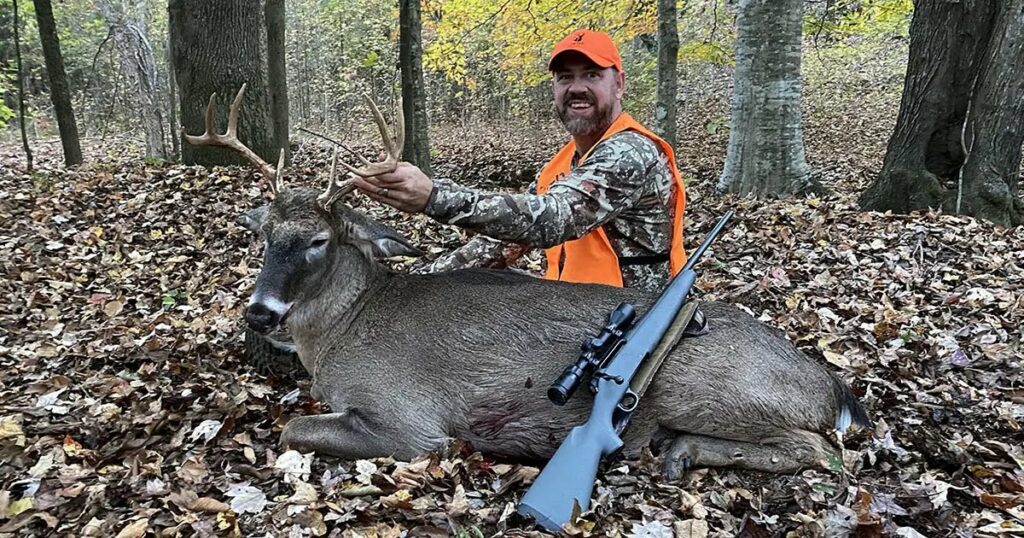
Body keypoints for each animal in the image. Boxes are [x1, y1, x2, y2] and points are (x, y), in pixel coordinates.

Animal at [185, 85, 869, 481]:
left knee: (820, 452)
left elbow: (291, 428)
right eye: (264, 235)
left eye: (318, 241)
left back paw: (683, 451)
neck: (344, 330)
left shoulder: (408, 422)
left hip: (706, 388)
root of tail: (831, 386)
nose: (260, 312)